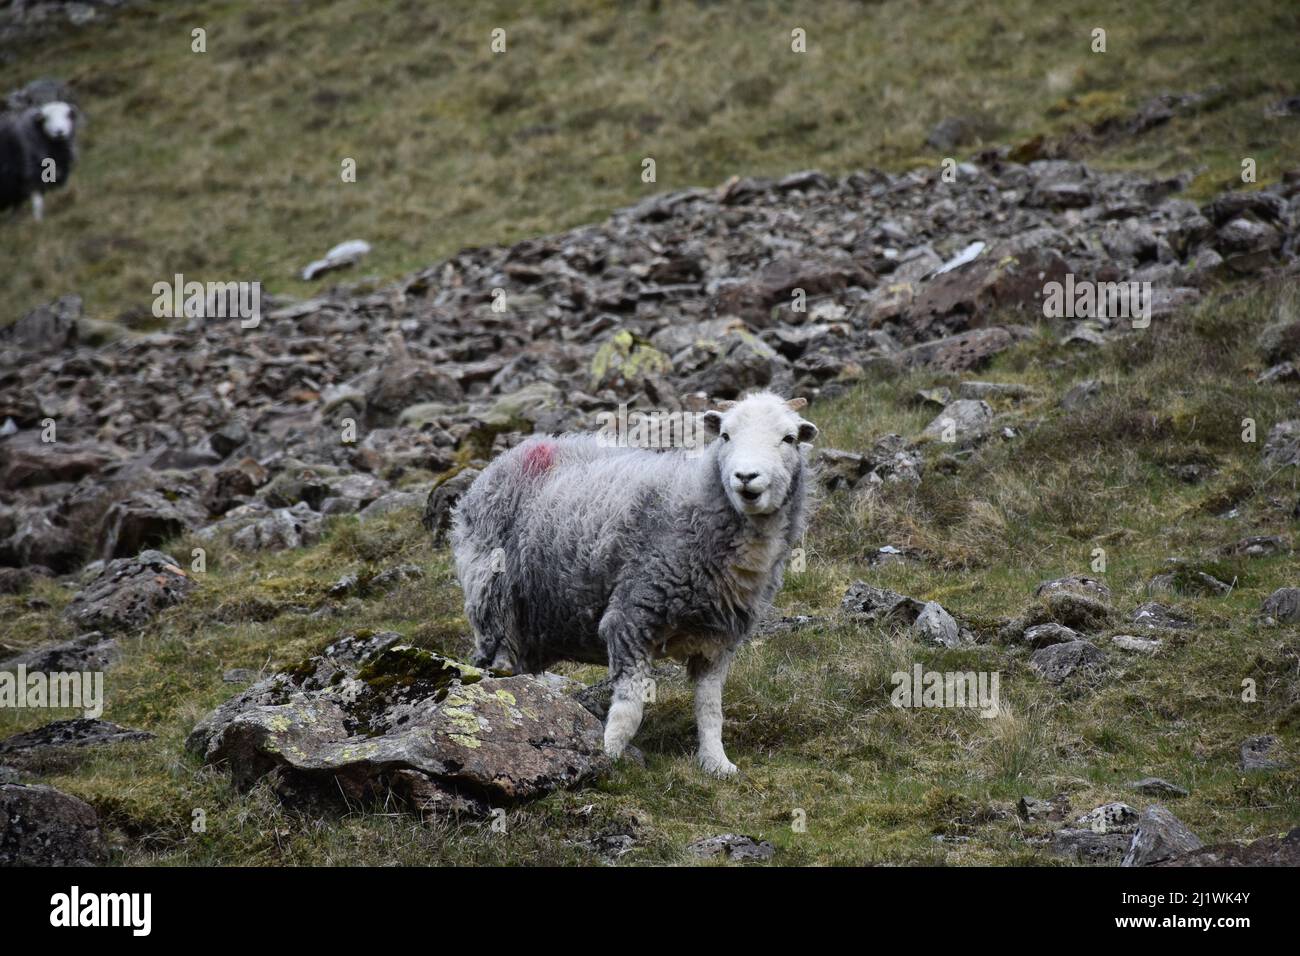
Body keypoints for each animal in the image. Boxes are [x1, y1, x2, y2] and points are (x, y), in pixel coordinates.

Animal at [450, 390, 818, 776]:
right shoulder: (632, 617)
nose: (746, 477)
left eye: (789, 438)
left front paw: (716, 762)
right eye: (725, 436)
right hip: (492, 600)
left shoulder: (717, 641)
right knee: (497, 665)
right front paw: (608, 756)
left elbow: (710, 709)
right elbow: (629, 710)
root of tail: (515, 452)